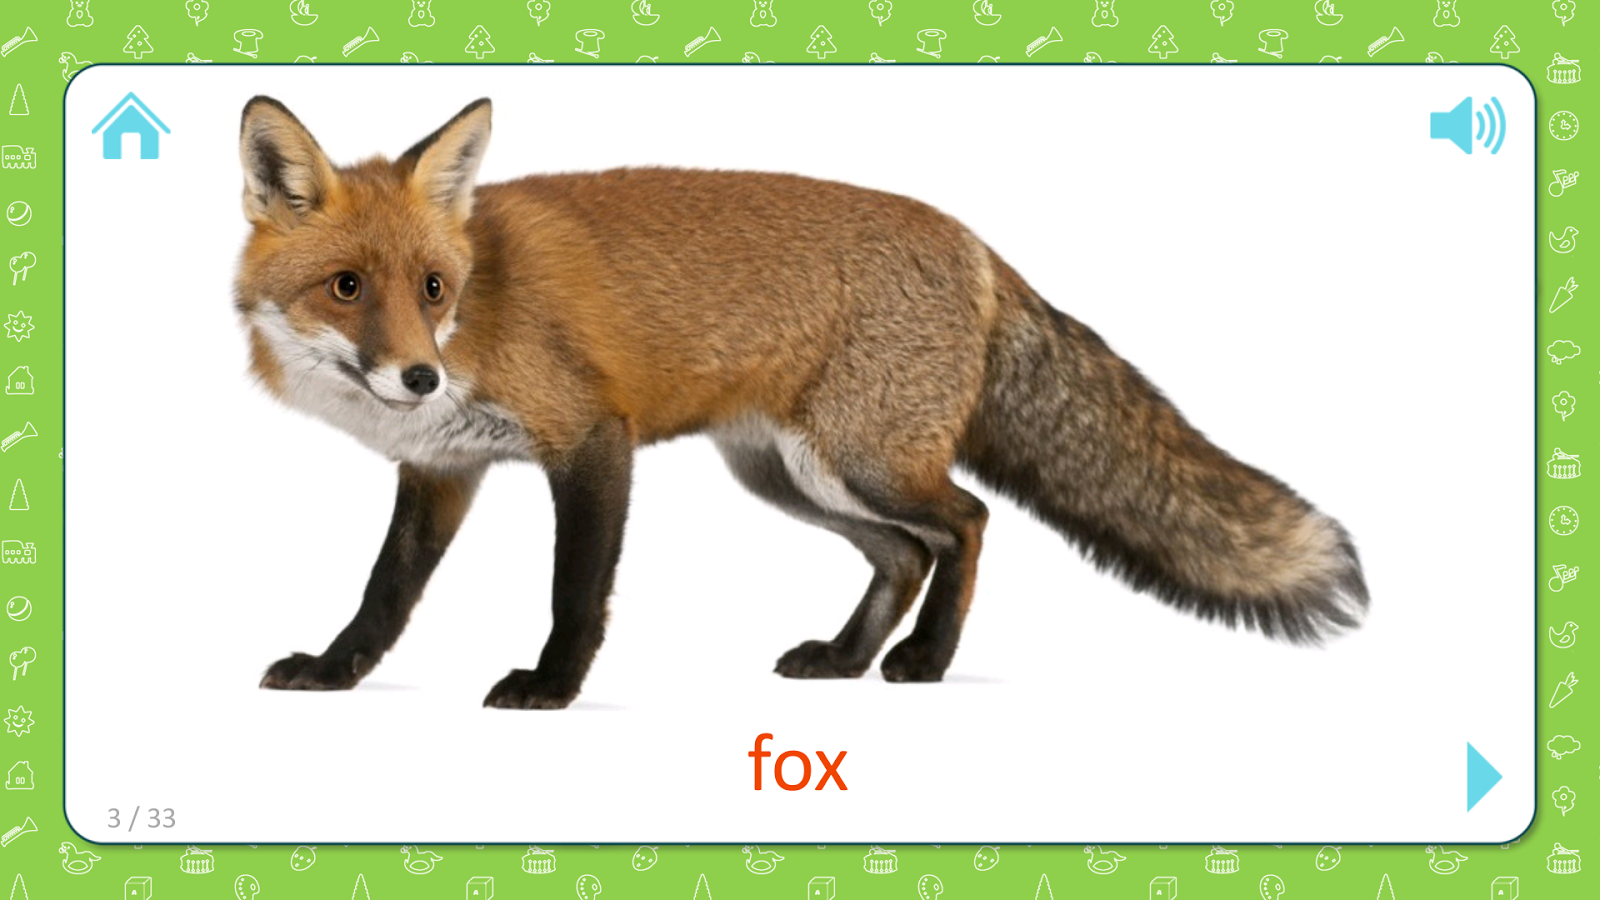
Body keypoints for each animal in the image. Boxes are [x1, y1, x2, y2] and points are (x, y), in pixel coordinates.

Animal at [236, 96, 1368, 709]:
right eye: (347, 287)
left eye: (433, 288)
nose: (418, 377)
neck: (479, 312)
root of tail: (975, 244)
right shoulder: (443, 468)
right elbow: (385, 593)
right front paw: (336, 671)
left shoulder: (593, 442)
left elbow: (575, 594)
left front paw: (551, 688)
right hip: (786, 476)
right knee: (906, 553)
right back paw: (847, 658)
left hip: (856, 460)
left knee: (968, 521)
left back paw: (922, 662)